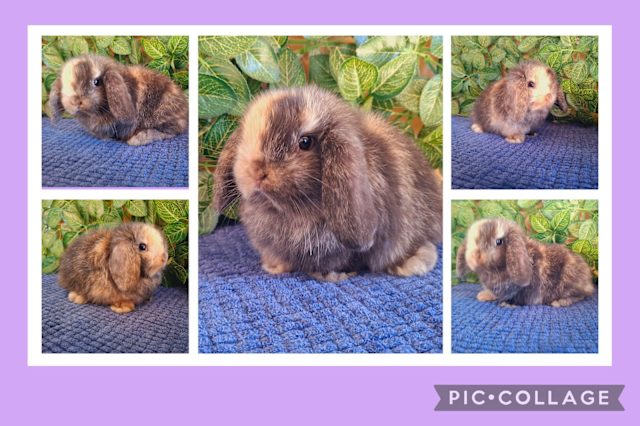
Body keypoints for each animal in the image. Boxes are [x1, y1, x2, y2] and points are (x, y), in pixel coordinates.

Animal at [456, 217, 595, 307]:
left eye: (499, 241)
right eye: (472, 239)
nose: (473, 258)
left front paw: (507, 304)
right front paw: (483, 295)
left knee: (581, 295)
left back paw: (560, 302)